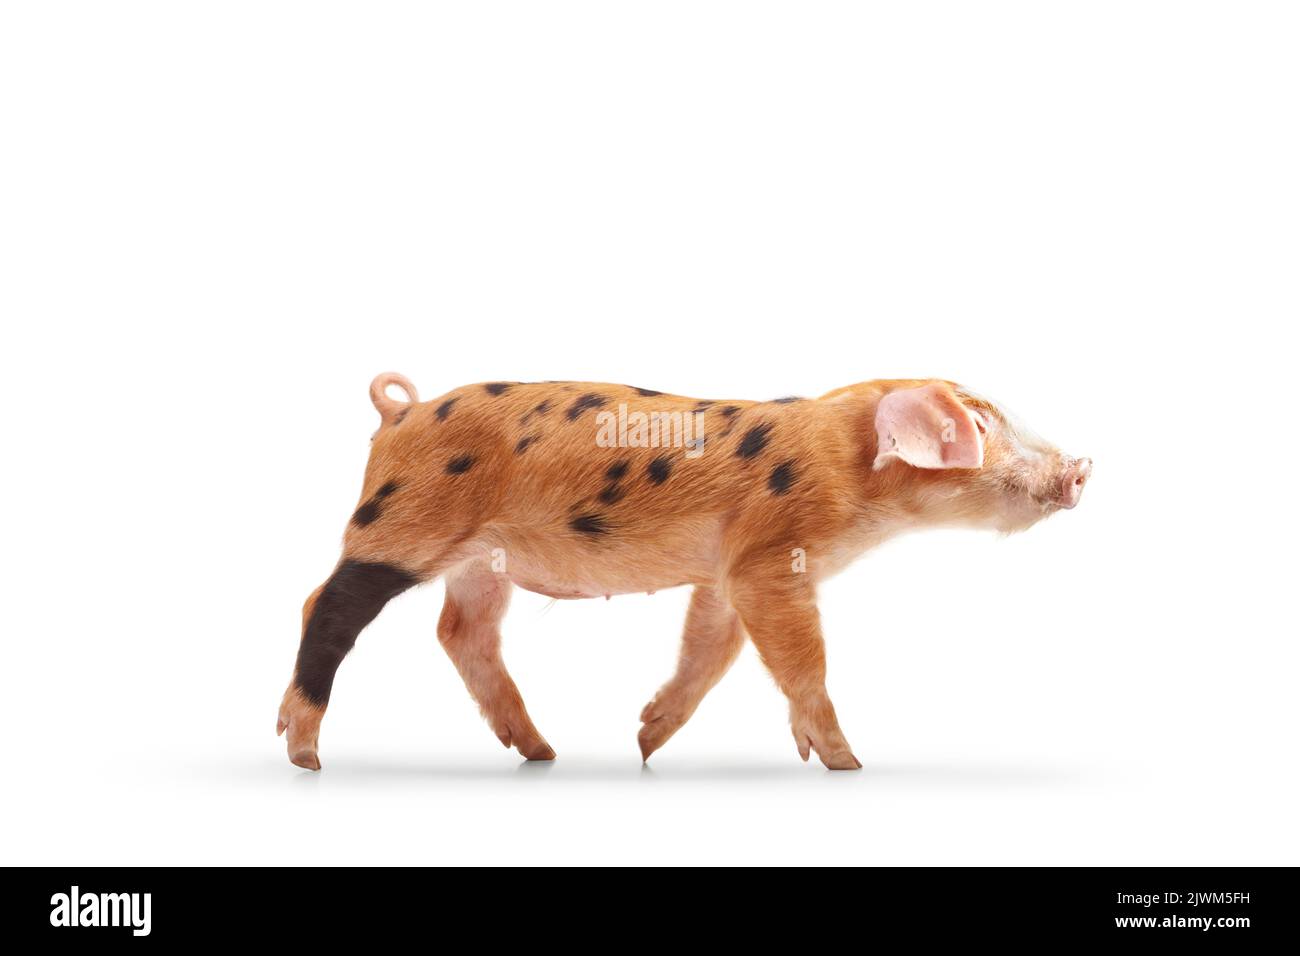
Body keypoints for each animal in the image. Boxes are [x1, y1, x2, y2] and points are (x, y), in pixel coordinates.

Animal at [278, 375, 1091, 771]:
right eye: (980, 426)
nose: (1082, 466)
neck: (848, 470)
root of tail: (399, 416)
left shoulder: (728, 569)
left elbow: (709, 647)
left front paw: (645, 742)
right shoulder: (773, 559)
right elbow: (802, 659)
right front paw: (848, 762)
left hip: (481, 560)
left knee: (461, 631)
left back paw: (542, 752)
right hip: (401, 525)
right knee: (325, 605)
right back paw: (307, 755)